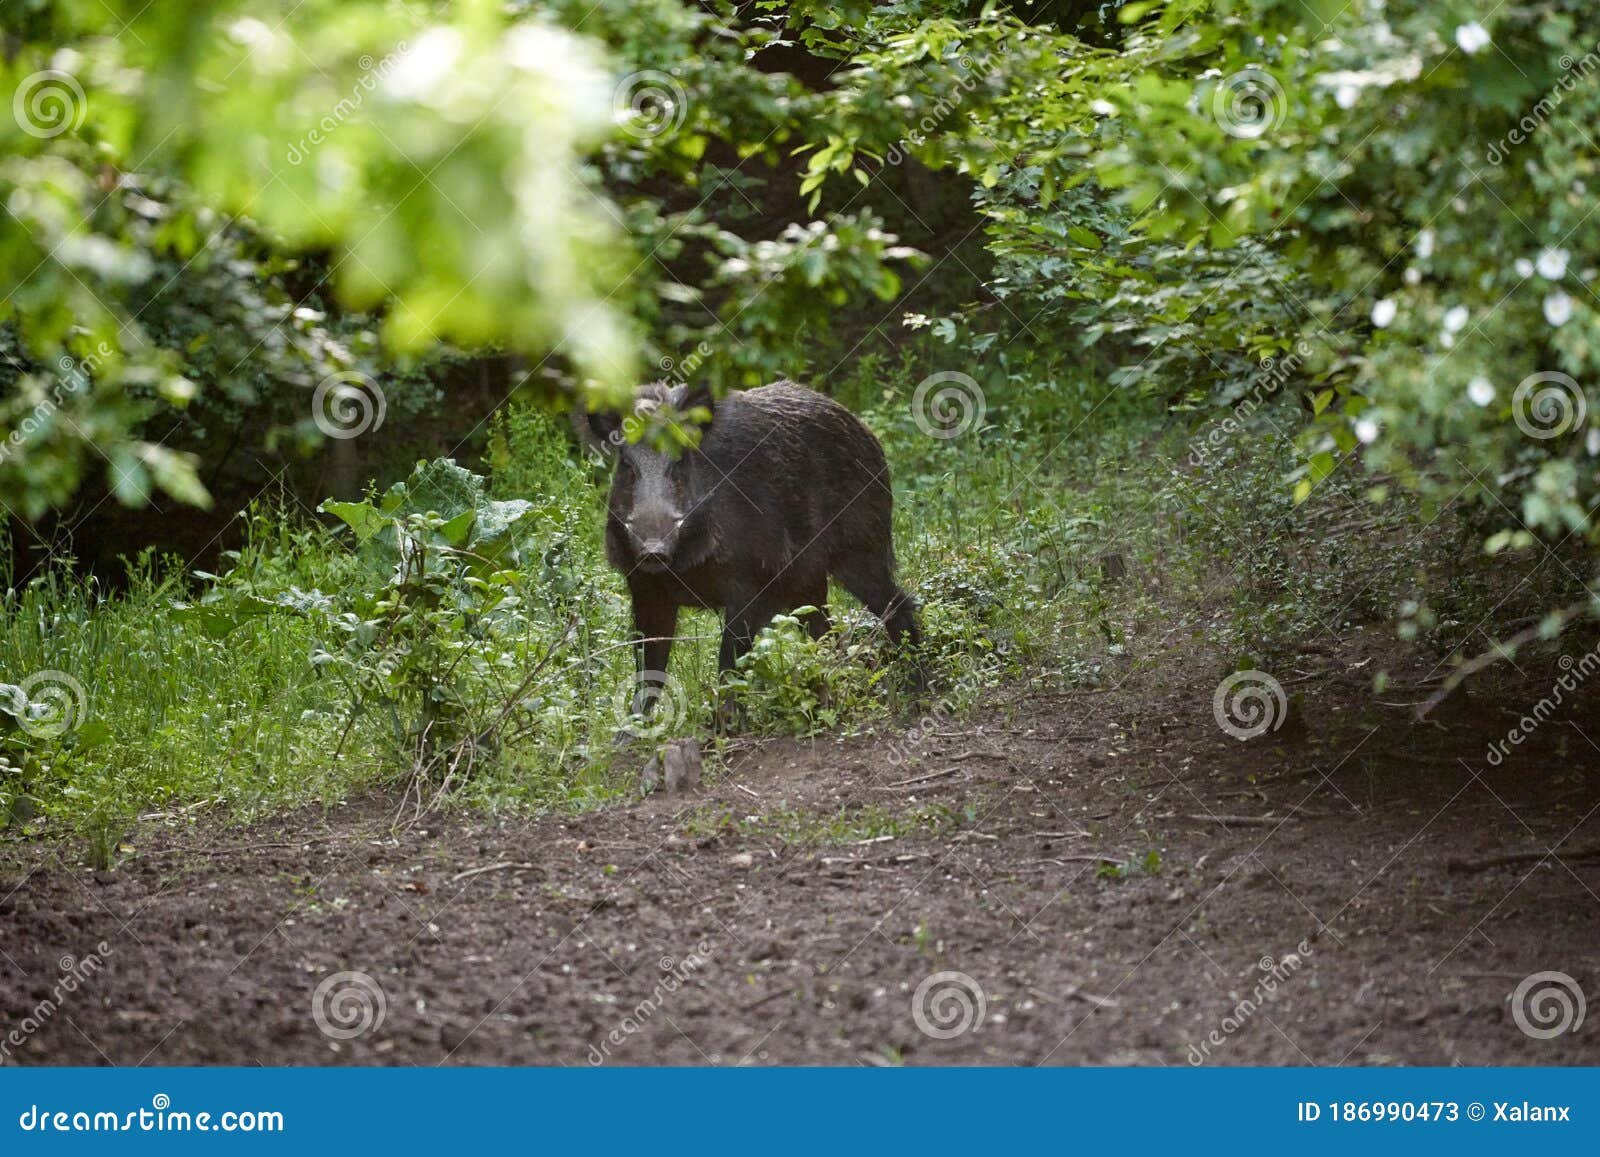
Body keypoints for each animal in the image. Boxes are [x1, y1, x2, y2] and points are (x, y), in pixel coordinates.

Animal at [584, 380, 923, 723]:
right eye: (627, 465)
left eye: (678, 462)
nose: (653, 549)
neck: (686, 567)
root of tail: (864, 431)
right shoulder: (644, 588)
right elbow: (649, 668)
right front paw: (630, 729)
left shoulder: (752, 581)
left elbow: (728, 658)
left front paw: (727, 723)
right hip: (809, 580)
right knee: (826, 633)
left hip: (862, 548)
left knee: (898, 606)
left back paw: (916, 690)